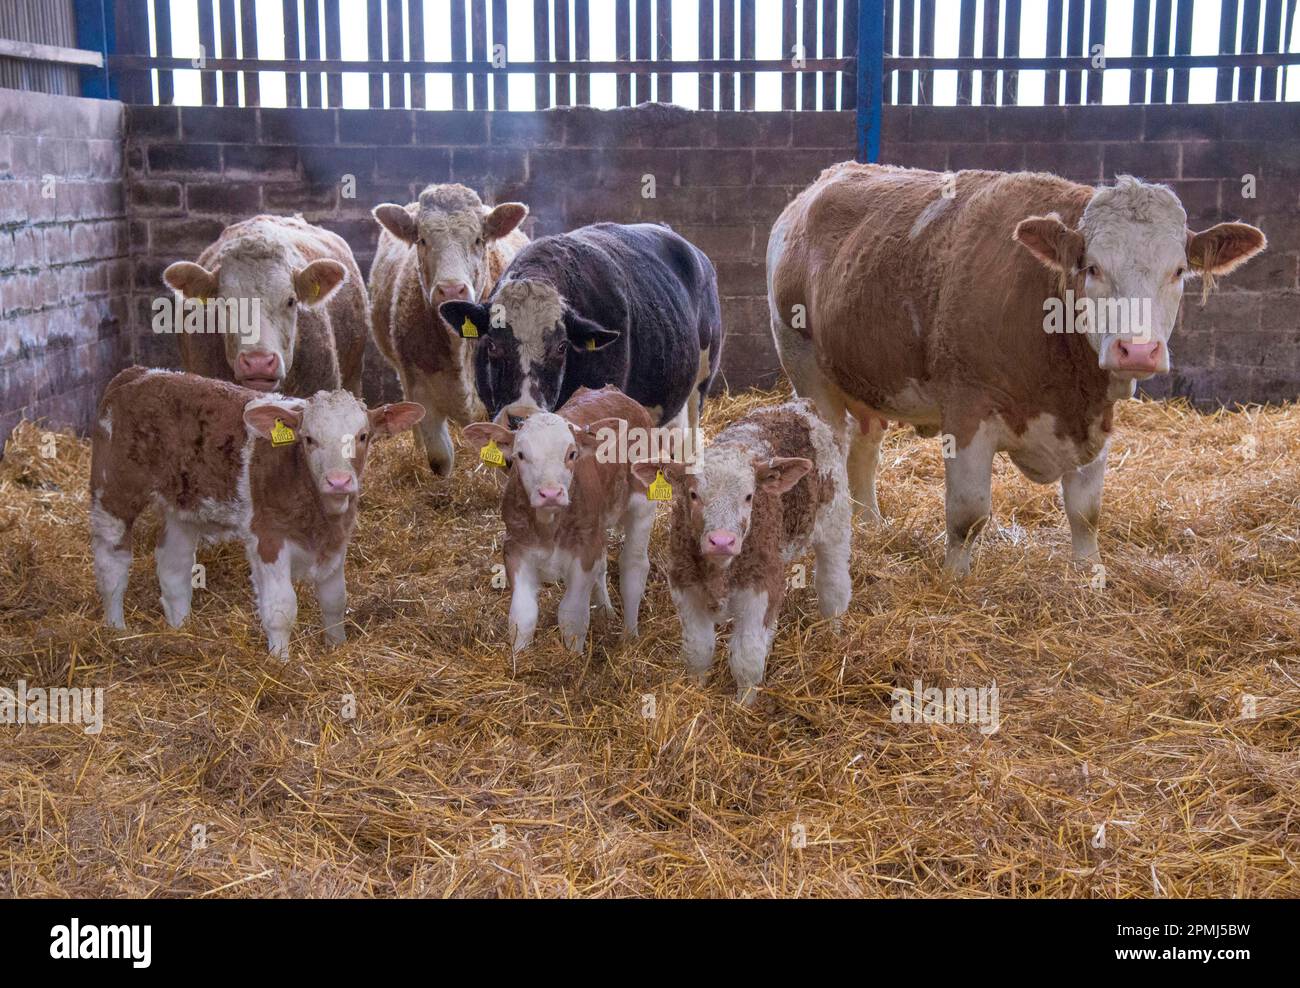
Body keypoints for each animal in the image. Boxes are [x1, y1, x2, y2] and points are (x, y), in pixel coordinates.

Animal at [89, 367, 424, 657]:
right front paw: (280, 662)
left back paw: (182, 630)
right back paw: (116, 630)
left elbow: (334, 600)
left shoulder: (337, 539)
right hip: (112, 490)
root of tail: (139, 373)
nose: (338, 481)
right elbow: (281, 607)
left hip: (183, 507)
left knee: (174, 567)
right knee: (112, 564)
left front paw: (336, 648)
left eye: (362, 436)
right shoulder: (268, 536)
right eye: (309, 438)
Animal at [462, 386, 658, 659]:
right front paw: (519, 659)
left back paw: (630, 637)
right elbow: (522, 615)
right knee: (604, 561)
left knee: (634, 564)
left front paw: (574, 660)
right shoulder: (515, 548)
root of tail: (613, 391)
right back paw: (605, 611)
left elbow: (572, 615)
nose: (551, 493)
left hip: (643, 501)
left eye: (572, 454)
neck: (549, 527)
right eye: (520, 455)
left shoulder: (584, 552)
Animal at [631, 399, 851, 705]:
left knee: (834, 585)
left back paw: (833, 632)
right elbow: (697, 651)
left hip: (835, 517)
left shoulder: (760, 586)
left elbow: (747, 658)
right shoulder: (684, 586)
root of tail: (798, 406)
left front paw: (743, 706)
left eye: (749, 496)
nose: (722, 541)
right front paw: (695, 691)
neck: (721, 571)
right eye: (693, 495)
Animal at [767, 165, 1266, 575]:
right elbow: (968, 514)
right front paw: (954, 581)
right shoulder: (967, 409)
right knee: (831, 449)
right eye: (1092, 268)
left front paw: (1090, 579)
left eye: (1179, 270)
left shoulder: (1096, 417)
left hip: (870, 379)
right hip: (805, 369)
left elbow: (1086, 511)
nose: (1137, 351)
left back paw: (871, 522)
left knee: (865, 445)